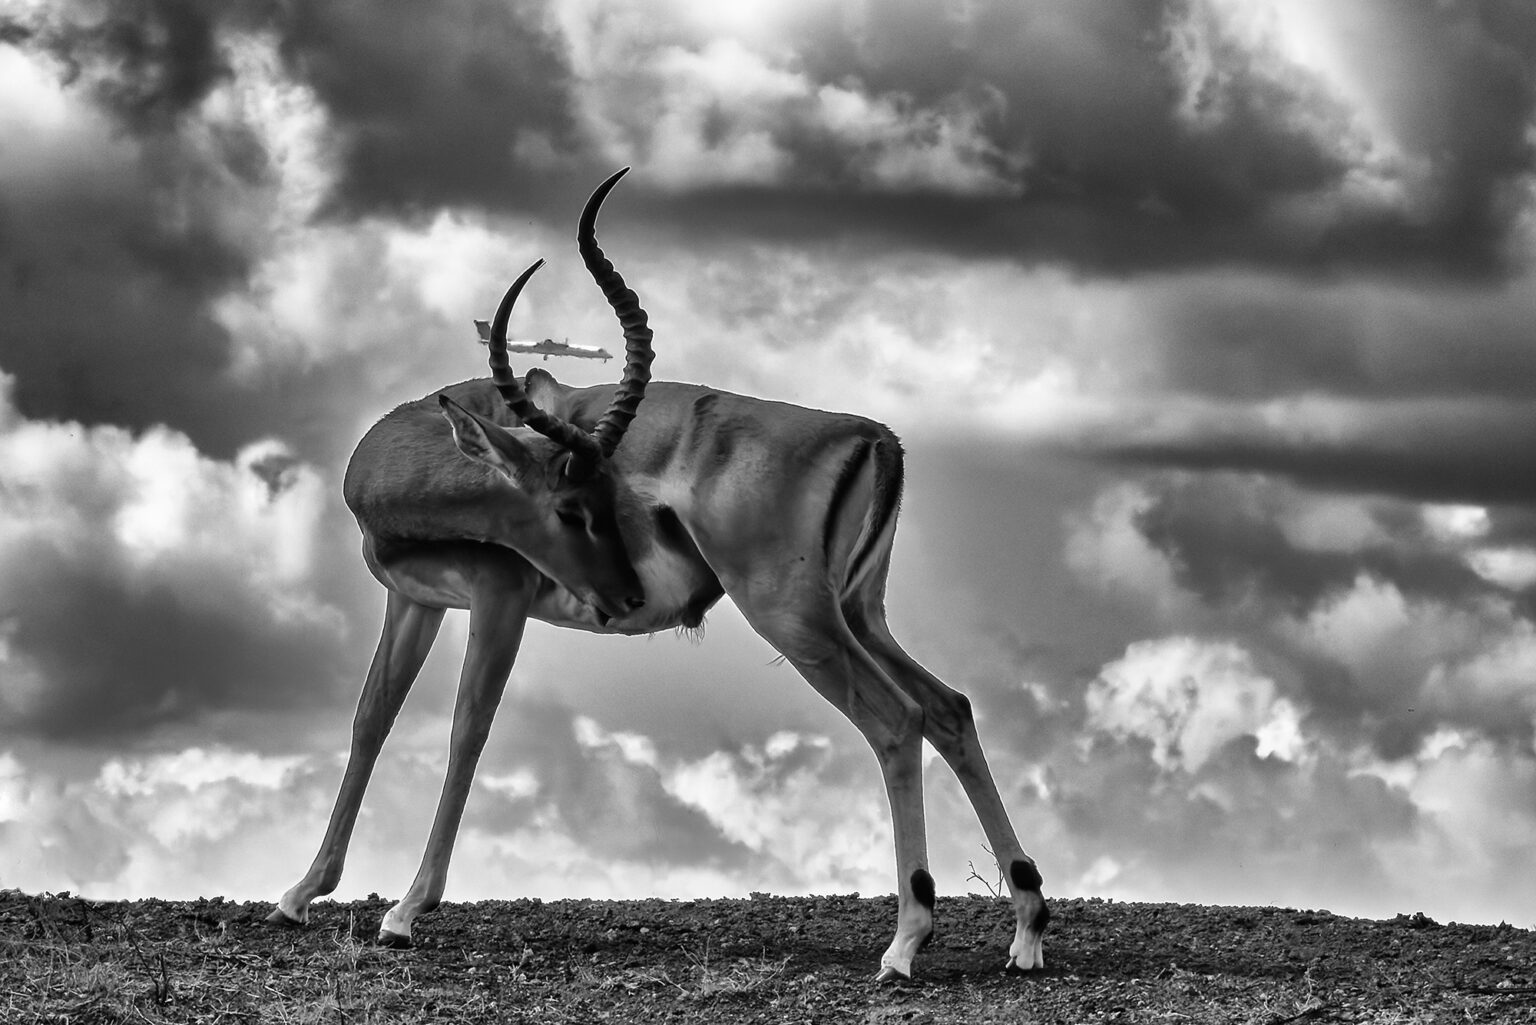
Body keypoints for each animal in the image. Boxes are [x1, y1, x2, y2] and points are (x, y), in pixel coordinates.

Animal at [267, 169, 1049, 980]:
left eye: (611, 499)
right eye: (575, 505)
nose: (627, 596)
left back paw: (905, 942)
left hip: (796, 621)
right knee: (950, 707)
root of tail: (872, 434)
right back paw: (1025, 930)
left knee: (898, 721)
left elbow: (467, 729)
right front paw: (299, 892)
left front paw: (405, 911)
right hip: (859, 615)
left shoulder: (497, 597)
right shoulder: (413, 601)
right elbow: (371, 720)